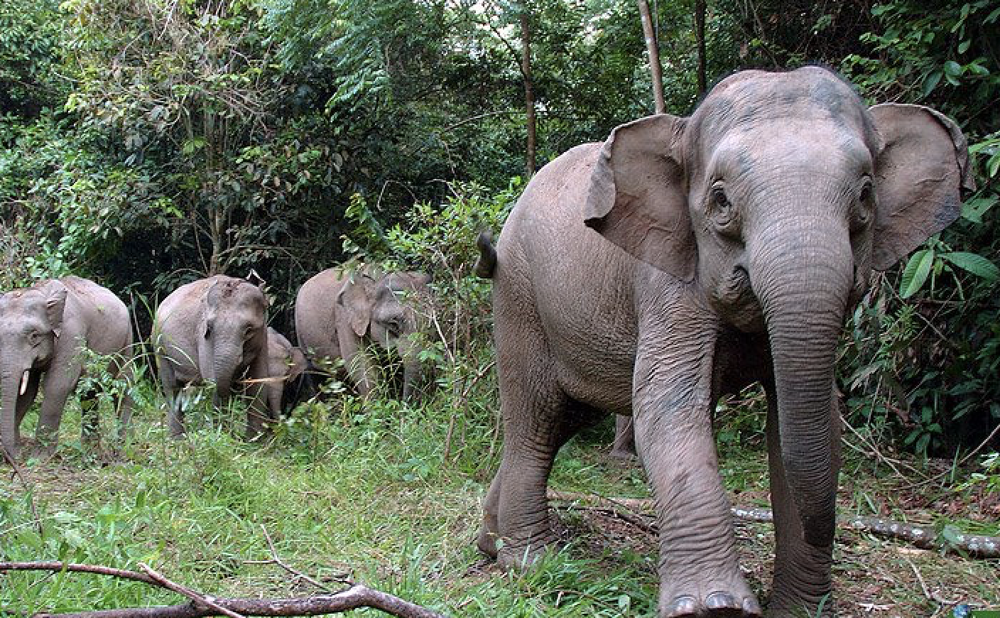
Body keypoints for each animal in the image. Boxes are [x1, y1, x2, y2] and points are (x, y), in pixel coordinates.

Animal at [0, 276, 133, 460]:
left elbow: (57, 385)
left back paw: (122, 450)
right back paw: (90, 451)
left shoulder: (72, 334)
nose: (13, 458)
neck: (41, 291)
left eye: (34, 336)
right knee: (89, 394)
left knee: (122, 386)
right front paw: (19, 453)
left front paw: (40, 458)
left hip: (126, 340)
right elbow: (27, 393)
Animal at [153, 275, 270, 439]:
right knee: (172, 387)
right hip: (160, 345)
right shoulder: (203, 339)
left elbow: (259, 383)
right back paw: (177, 439)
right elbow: (212, 379)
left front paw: (252, 440)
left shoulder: (262, 338)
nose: (235, 435)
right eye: (209, 327)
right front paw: (223, 437)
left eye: (249, 330)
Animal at [473, 67, 972, 617]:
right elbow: (666, 406)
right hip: (519, 296)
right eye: (721, 201)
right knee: (536, 418)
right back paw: (528, 562)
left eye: (866, 194)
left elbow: (804, 425)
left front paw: (798, 612)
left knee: (567, 417)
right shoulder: (668, 278)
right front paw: (715, 607)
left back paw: (490, 542)